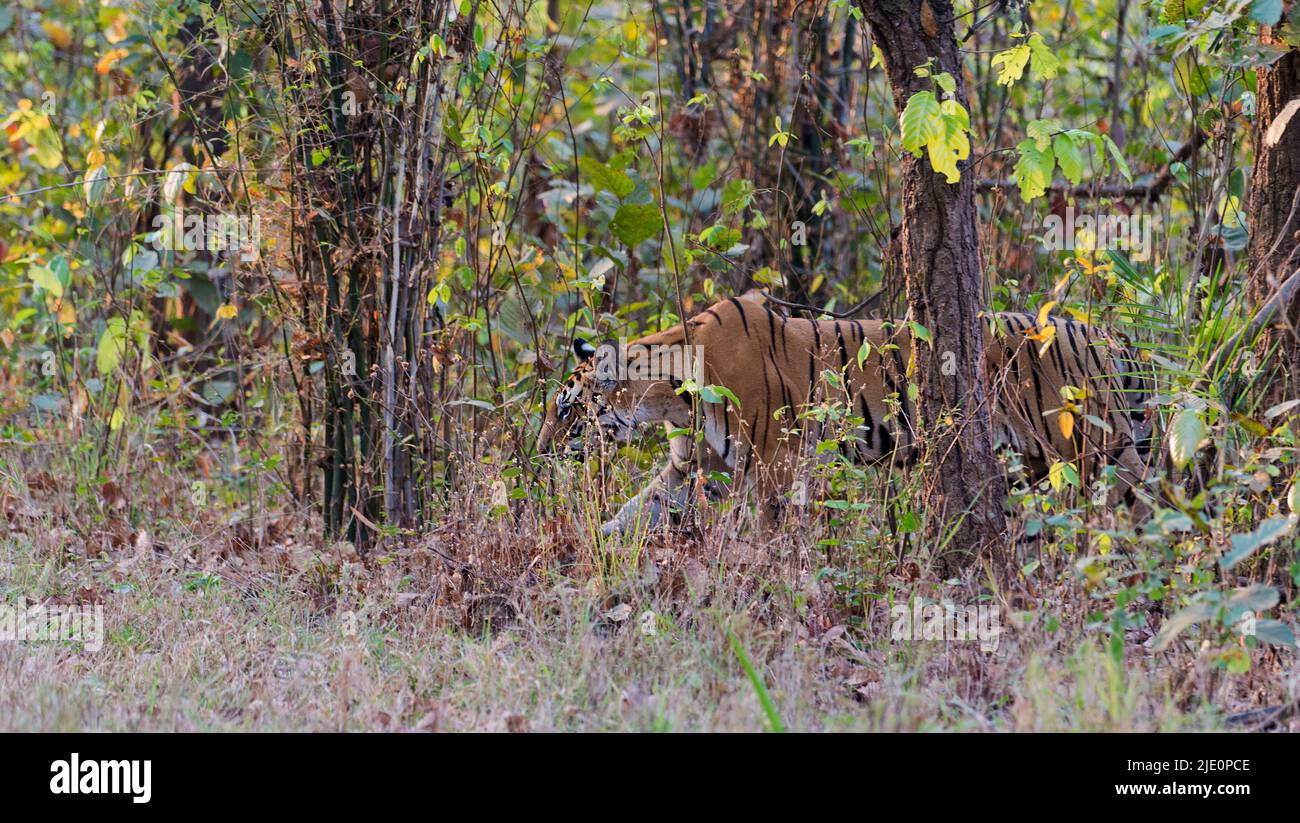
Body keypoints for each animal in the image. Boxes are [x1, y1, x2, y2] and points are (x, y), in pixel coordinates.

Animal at [537, 292, 1152, 535]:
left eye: (567, 412)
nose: (538, 451)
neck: (671, 395)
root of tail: (1106, 335)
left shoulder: (777, 461)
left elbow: (773, 527)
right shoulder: (692, 467)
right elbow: (637, 509)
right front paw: (591, 547)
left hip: (1090, 450)